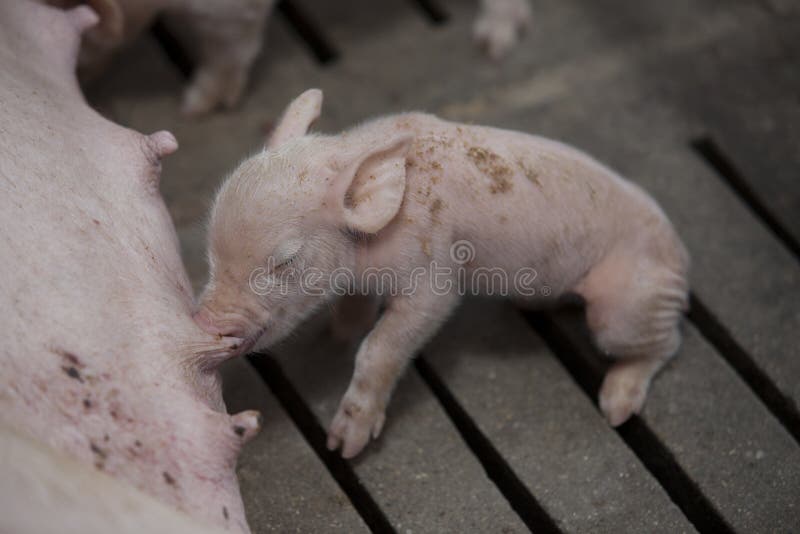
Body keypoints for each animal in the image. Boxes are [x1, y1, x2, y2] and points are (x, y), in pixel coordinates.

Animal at [195, 89, 690, 459]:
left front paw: (344, 446)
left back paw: (616, 406)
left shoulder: (434, 271)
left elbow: (380, 347)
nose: (205, 321)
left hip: (625, 306)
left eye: (286, 259)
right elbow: (354, 311)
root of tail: (680, 257)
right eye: (211, 249)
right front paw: (332, 340)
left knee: (666, 344)